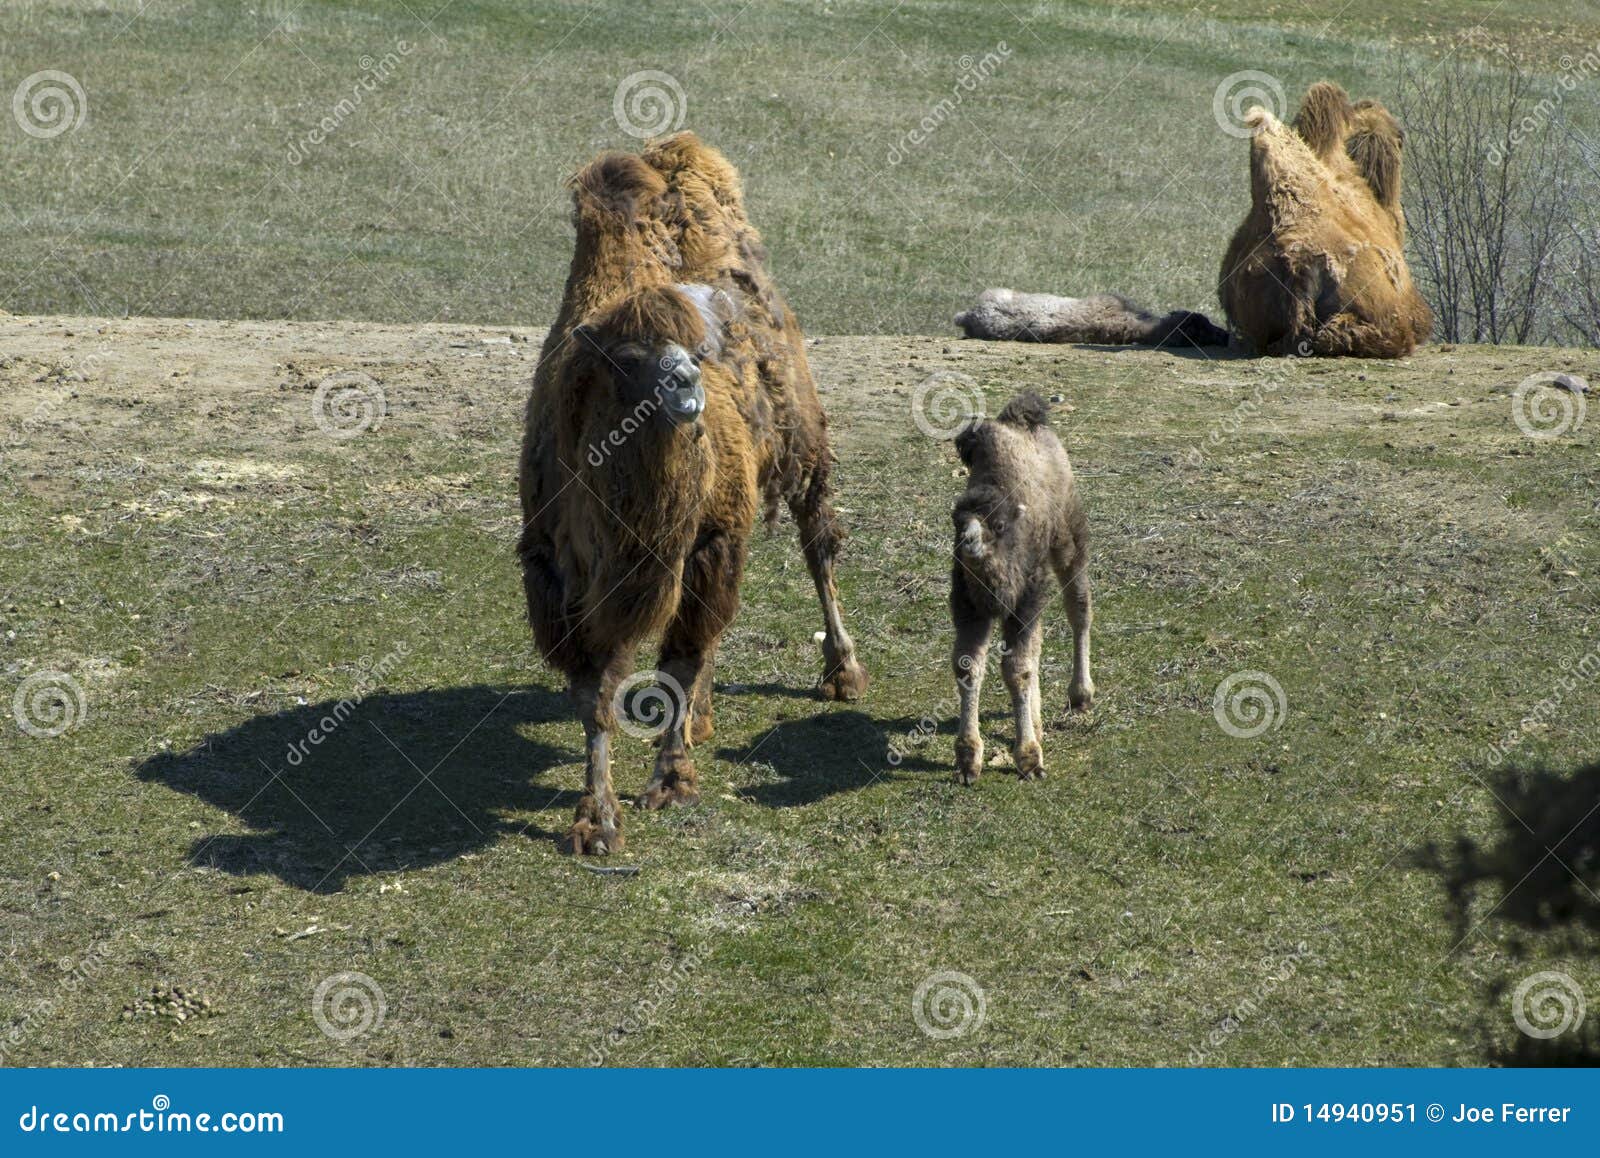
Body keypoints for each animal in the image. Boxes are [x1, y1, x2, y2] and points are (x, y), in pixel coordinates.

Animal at [518, 135, 867, 856]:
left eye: (695, 348)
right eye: (628, 357)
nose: (686, 385)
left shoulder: (709, 540)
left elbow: (678, 660)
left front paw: (670, 782)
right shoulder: (556, 574)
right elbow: (594, 690)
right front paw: (595, 822)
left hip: (803, 438)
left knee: (818, 544)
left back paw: (843, 672)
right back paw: (704, 718)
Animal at [949, 392, 1093, 785]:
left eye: (997, 524)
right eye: (957, 521)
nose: (968, 542)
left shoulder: (1025, 598)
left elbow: (1016, 669)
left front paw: (1028, 758)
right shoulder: (970, 607)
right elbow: (969, 666)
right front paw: (968, 759)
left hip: (1067, 532)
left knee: (1079, 605)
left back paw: (1081, 694)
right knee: (1037, 645)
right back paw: (1040, 719)